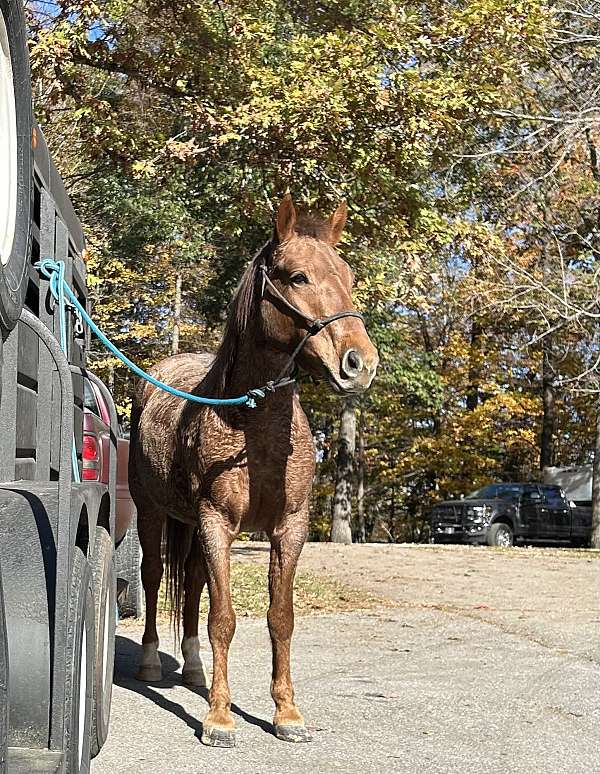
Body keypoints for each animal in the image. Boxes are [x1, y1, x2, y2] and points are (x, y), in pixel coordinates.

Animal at [128, 194, 379, 748]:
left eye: (349, 277)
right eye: (298, 277)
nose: (360, 364)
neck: (253, 425)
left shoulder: (289, 527)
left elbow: (279, 618)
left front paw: (287, 714)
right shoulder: (216, 522)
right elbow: (223, 618)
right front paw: (219, 719)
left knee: (192, 583)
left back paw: (194, 669)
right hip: (153, 515)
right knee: (154, 579)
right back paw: (153, 663)